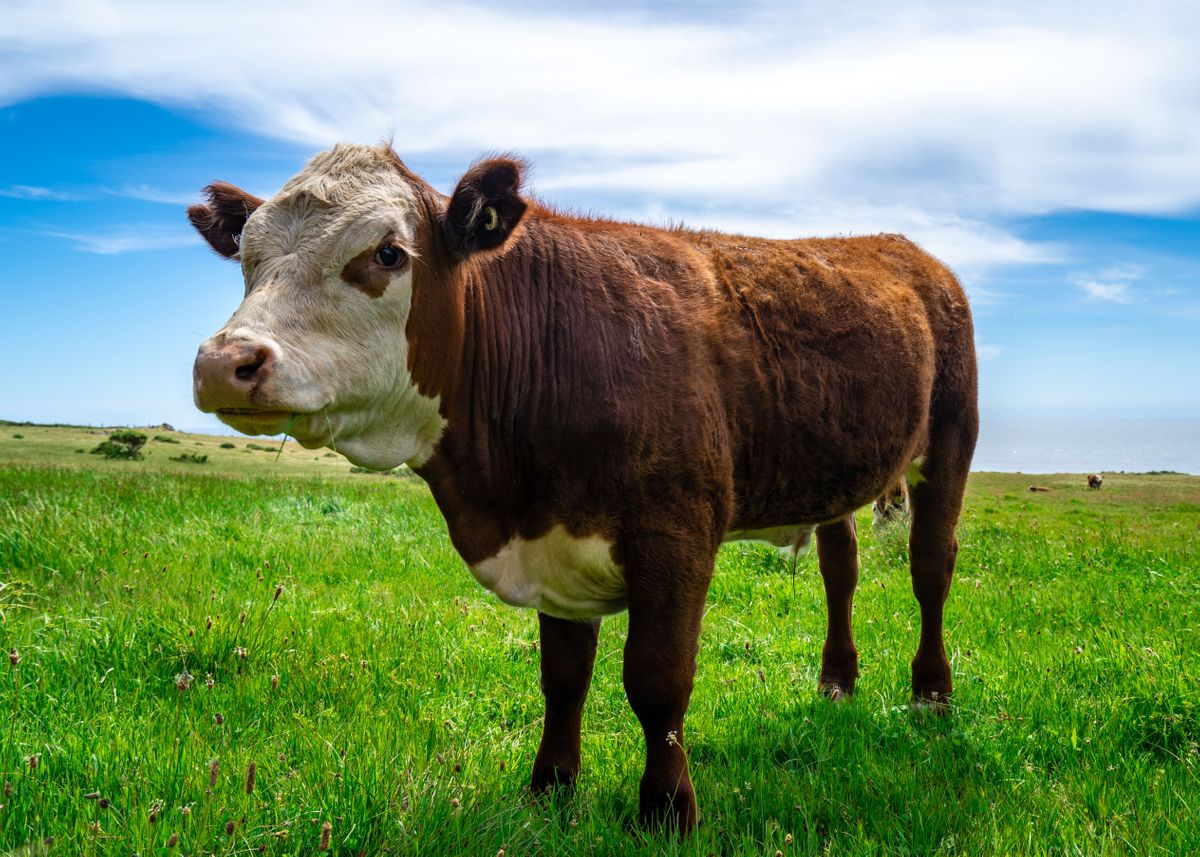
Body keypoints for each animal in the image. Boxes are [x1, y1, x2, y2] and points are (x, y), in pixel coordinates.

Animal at [189, 144, 979, 833]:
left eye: (387, 252)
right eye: (248, 259)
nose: (224, 363)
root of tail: (904, 249)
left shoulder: (677, 535)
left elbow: (657, 679)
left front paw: (668, 811)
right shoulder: (555, 536)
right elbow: (564, 676)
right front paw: (549, 790)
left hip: (949, 442)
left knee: (931, 567)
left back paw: (931, 696)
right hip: (841, 474)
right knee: (840, 569)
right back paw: (837, 683)